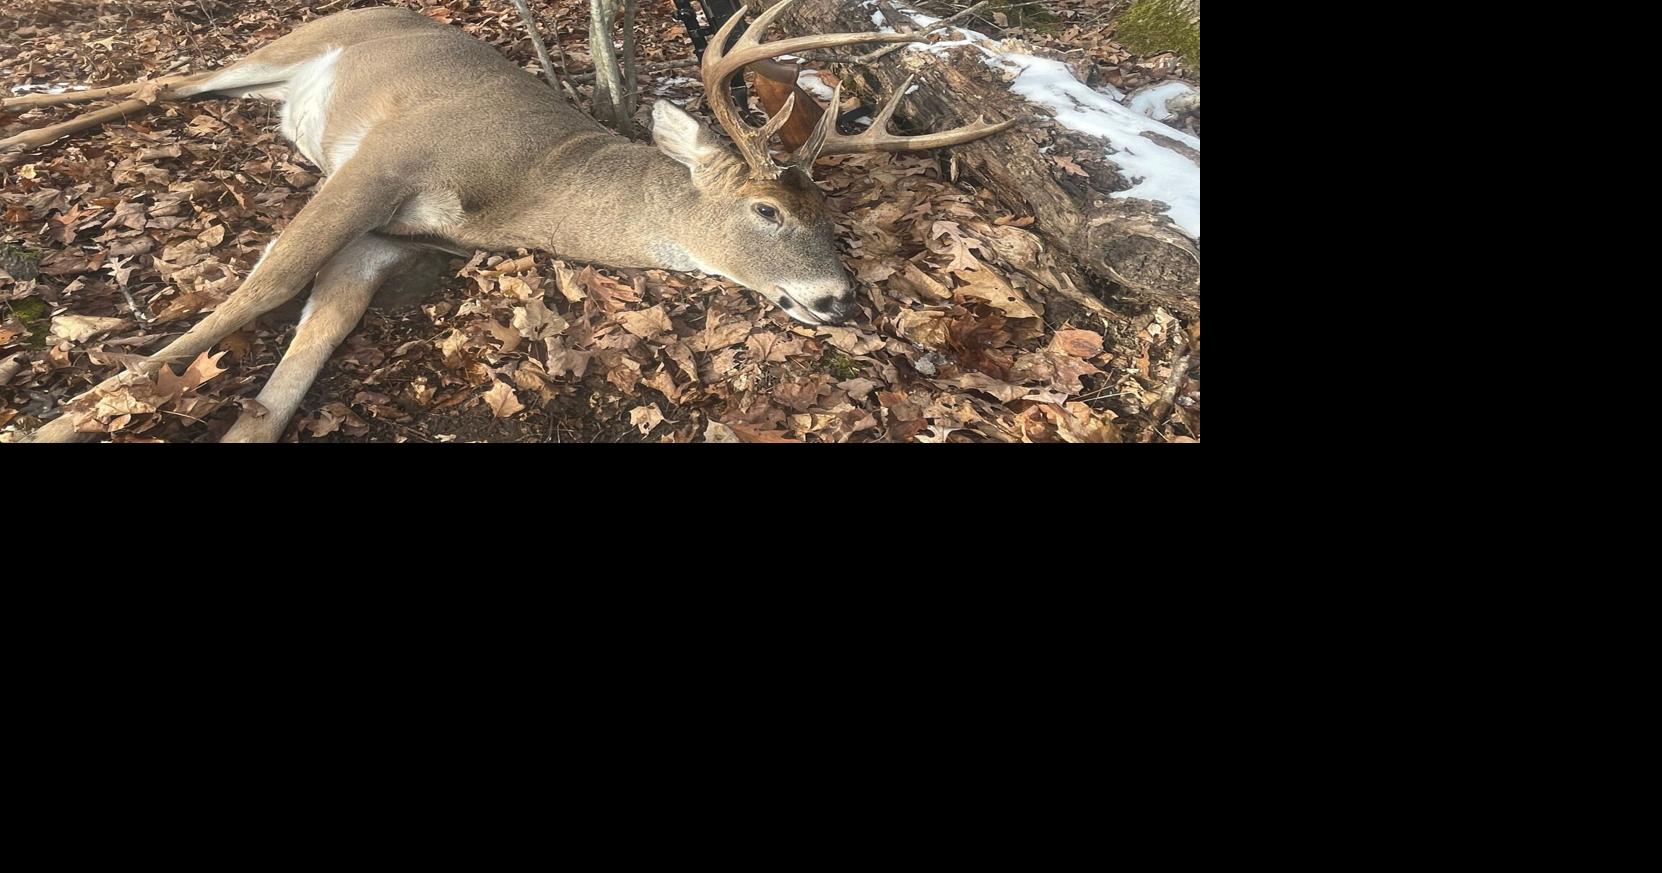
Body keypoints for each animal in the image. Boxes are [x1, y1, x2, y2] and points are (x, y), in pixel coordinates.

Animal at [6, 0, 1013, 443]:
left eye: (827, 210)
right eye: (766, 207)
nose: (838, 298)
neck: (532, 185)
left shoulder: (393, 236)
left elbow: (297, 363)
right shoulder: (385, 158)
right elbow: (266, 284)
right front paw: (74, 416)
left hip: (272, 85)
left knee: (154, 87)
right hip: (288, 47)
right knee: (162, 82)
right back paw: (23, 124)